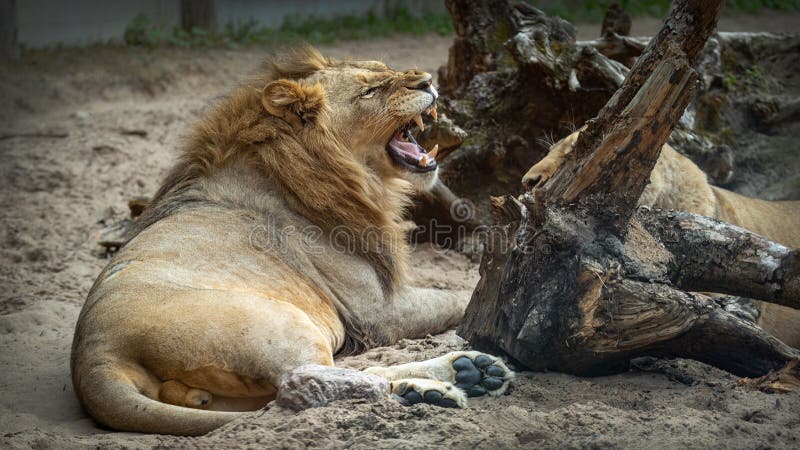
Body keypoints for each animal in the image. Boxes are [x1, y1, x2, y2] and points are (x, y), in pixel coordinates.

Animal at [71, 47, 513, 436]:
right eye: (369, 91)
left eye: (385, 69)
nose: (427, 81)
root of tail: (94, 355)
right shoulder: (378, 312)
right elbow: (456, 296)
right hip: (285, 323)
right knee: (309, 383)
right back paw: (449, 379)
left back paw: (459, 378)